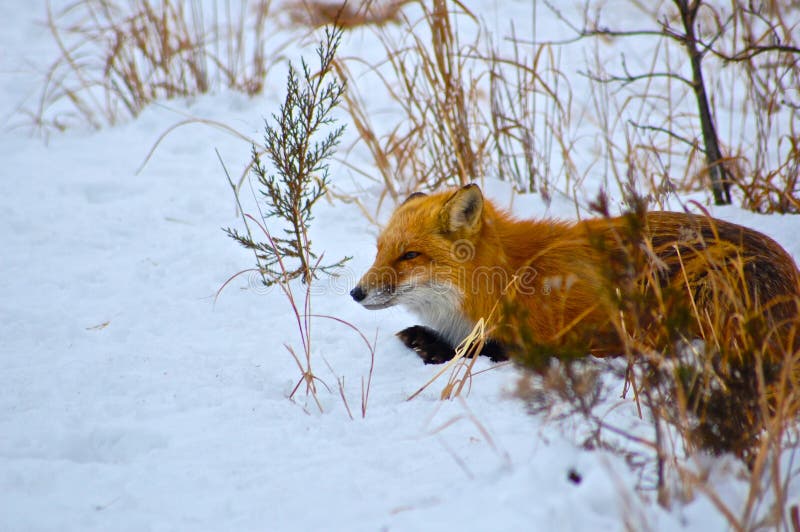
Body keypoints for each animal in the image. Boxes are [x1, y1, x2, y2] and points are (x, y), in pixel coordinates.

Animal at [350, 184, 800, 365]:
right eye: (380, 250)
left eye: (410, 255)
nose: (356, 292)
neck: (510, 278)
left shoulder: (575, 333)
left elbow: (487, 350)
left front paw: (433, 347)